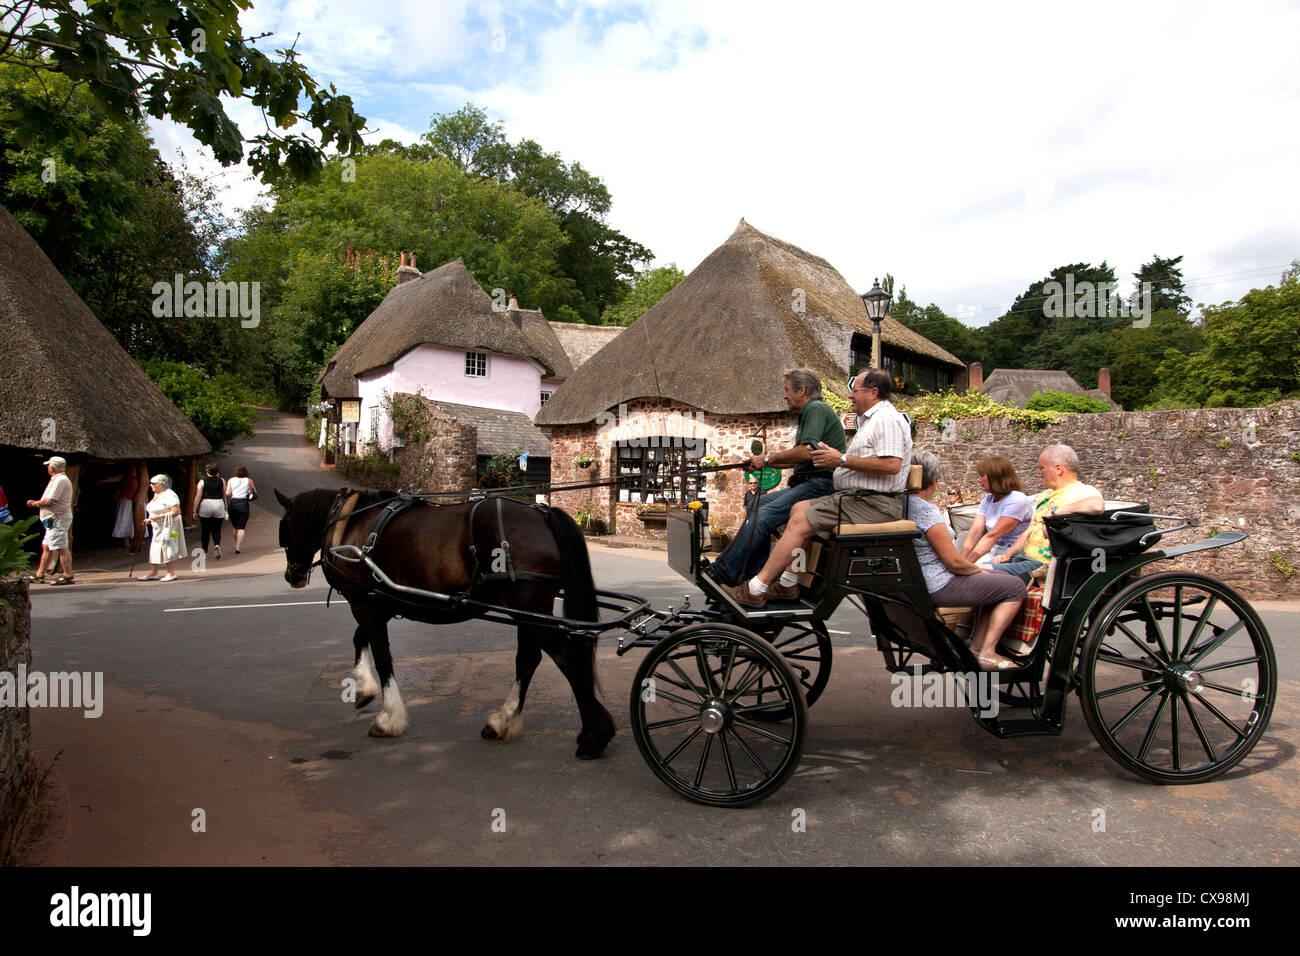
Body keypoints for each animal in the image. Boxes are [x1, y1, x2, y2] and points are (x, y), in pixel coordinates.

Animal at [274, 488, 616, 758]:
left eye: (285, 528)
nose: (292, 575)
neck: (351, 523)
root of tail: (544, 513)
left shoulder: (365, 604)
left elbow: (382, 657)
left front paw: (388, 716)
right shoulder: (377, 603)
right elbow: (360, 640)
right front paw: (363, 689)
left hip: (528, 605)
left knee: (563, 656)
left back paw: (593, 735)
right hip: (527, 609)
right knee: (530, 659)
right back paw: (505, 720)